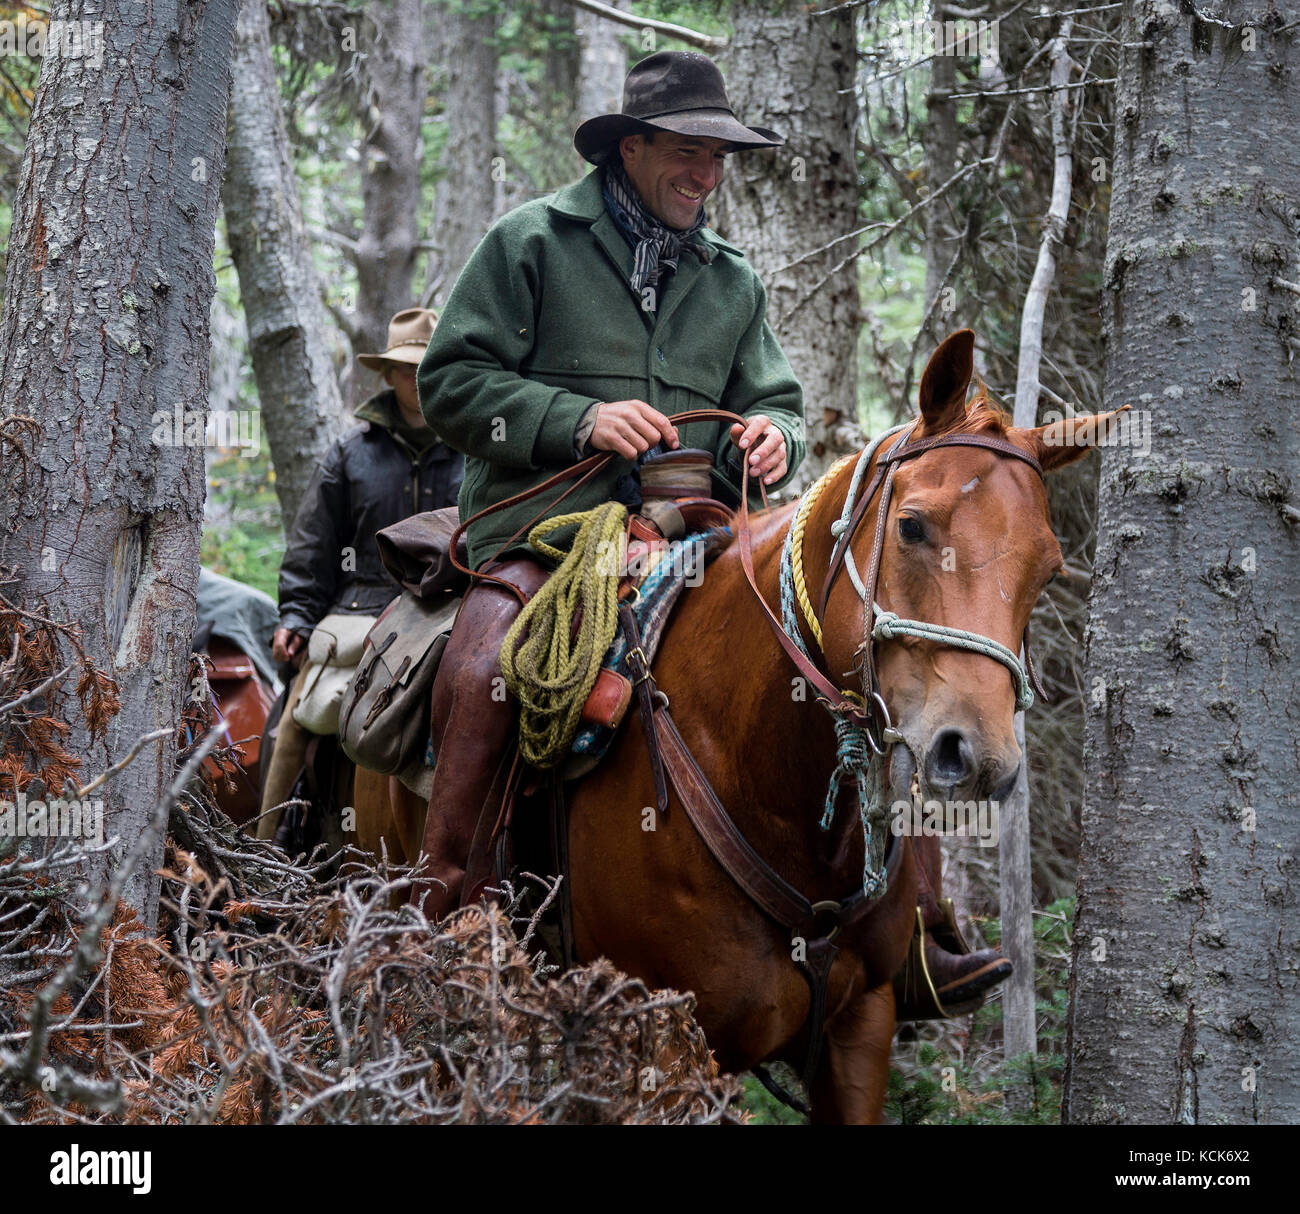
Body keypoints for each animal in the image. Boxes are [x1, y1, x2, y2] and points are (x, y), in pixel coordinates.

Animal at [355, 330, 1119, 1122]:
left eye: (1049, 567)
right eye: (912, 526)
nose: (975, 757)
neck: (764, 779)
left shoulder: (862, 1026)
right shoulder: (667, 1048)